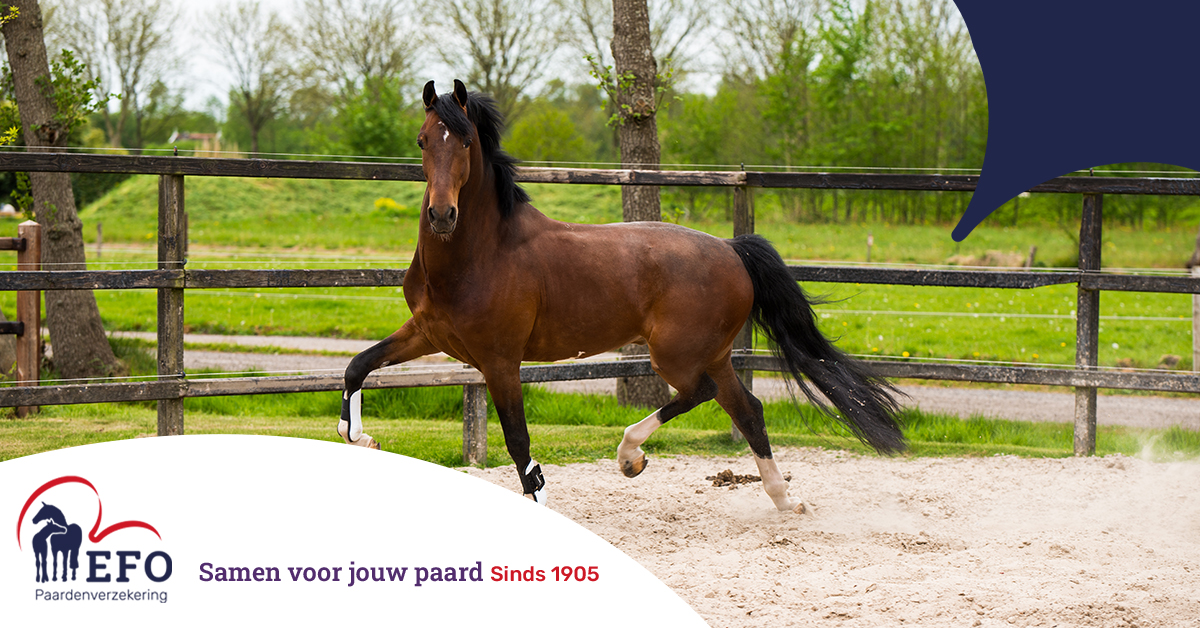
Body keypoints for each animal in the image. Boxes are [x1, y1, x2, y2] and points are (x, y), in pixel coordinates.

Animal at [338, 79, 905, 512]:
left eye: (464, 143)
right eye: (422, 140)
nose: (441, 215)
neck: (480, 254)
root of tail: (731, 249)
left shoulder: (500, 361)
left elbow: (519, 442)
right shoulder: (429, 334)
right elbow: (356, 367)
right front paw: (364, 438)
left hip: (677, 353)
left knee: (701, 394)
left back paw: (630, 455)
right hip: (715, 354)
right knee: (748, 411)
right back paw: (784, 501)